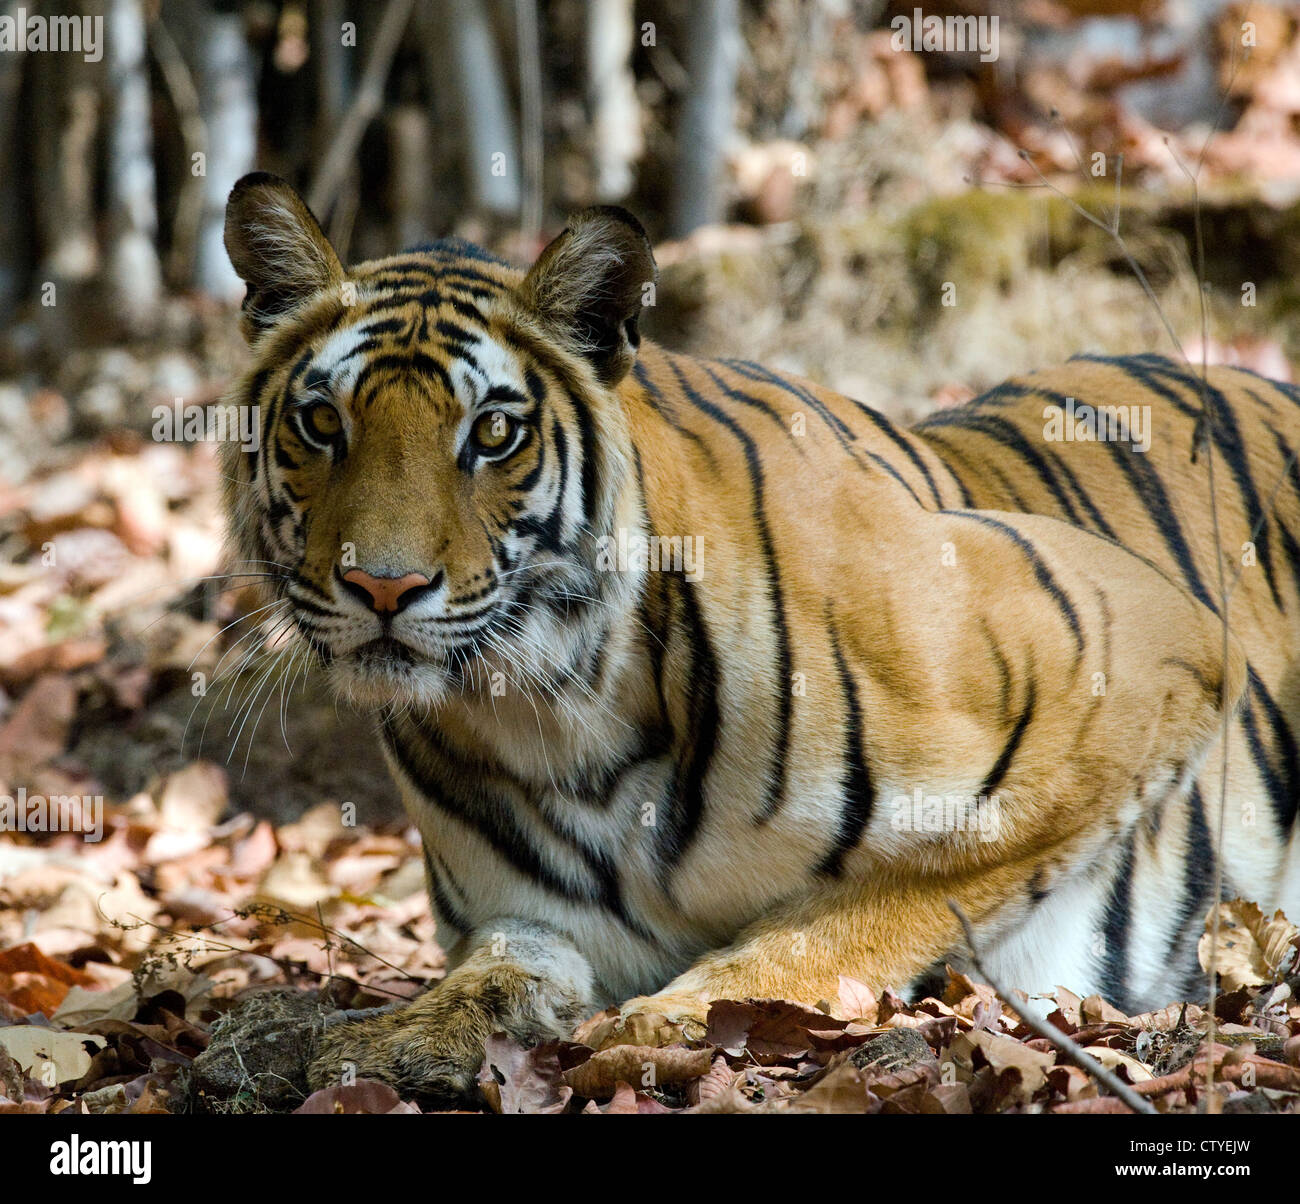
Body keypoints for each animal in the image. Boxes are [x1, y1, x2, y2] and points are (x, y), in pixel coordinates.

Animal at [219, 171, 1300, 1106]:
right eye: (321, 423)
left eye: (492, 433)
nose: (381, 584)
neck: (554, 709)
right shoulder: (528, 915)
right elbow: (500, 965)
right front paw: (393, 1039)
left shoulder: (1146, 655)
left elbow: (867, 906)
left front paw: (665, 1018)